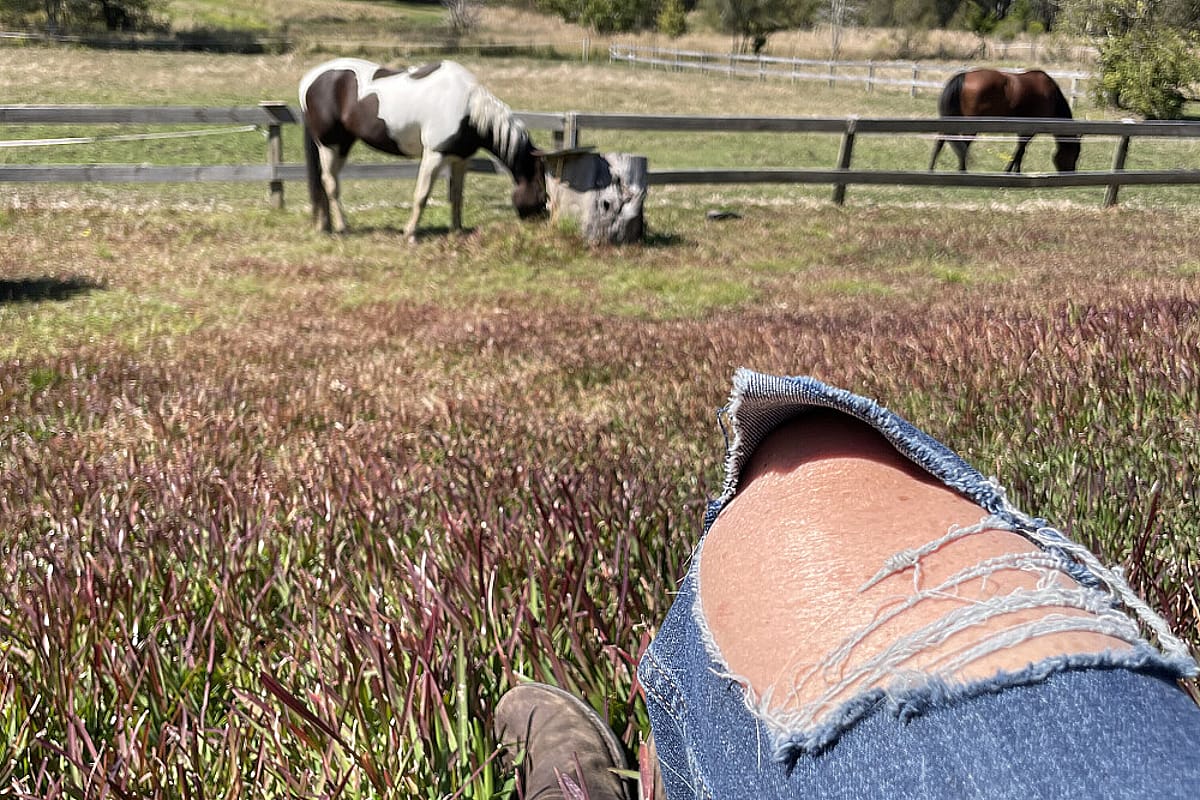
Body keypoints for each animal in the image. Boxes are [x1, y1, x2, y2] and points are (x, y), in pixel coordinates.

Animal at [298, 58, 547, 240]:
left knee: (325, 182)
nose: (540, 224)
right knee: (330, 183)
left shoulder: (460, 159)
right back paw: (342, 228)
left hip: (342, 144)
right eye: (542, 194)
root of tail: (308, 80)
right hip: (329, 144)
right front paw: (410, 234)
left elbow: (457, 195)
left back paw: (326, 227)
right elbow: (422, 195)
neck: (467, 107)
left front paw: (457, 231)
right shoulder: (434, 155)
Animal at [928, 69, 1081, 174]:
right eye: (1074, 154)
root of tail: (963, 76)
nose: (1070, 173)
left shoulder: (1024, 130)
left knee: (941, 141)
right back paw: (962, 170)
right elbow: (1020, 150)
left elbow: (1020, 150)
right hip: (970, 127)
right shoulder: (1029, 131)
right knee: (963, 146)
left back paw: (931, 169)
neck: (1052, 97)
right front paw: (1011, 171)